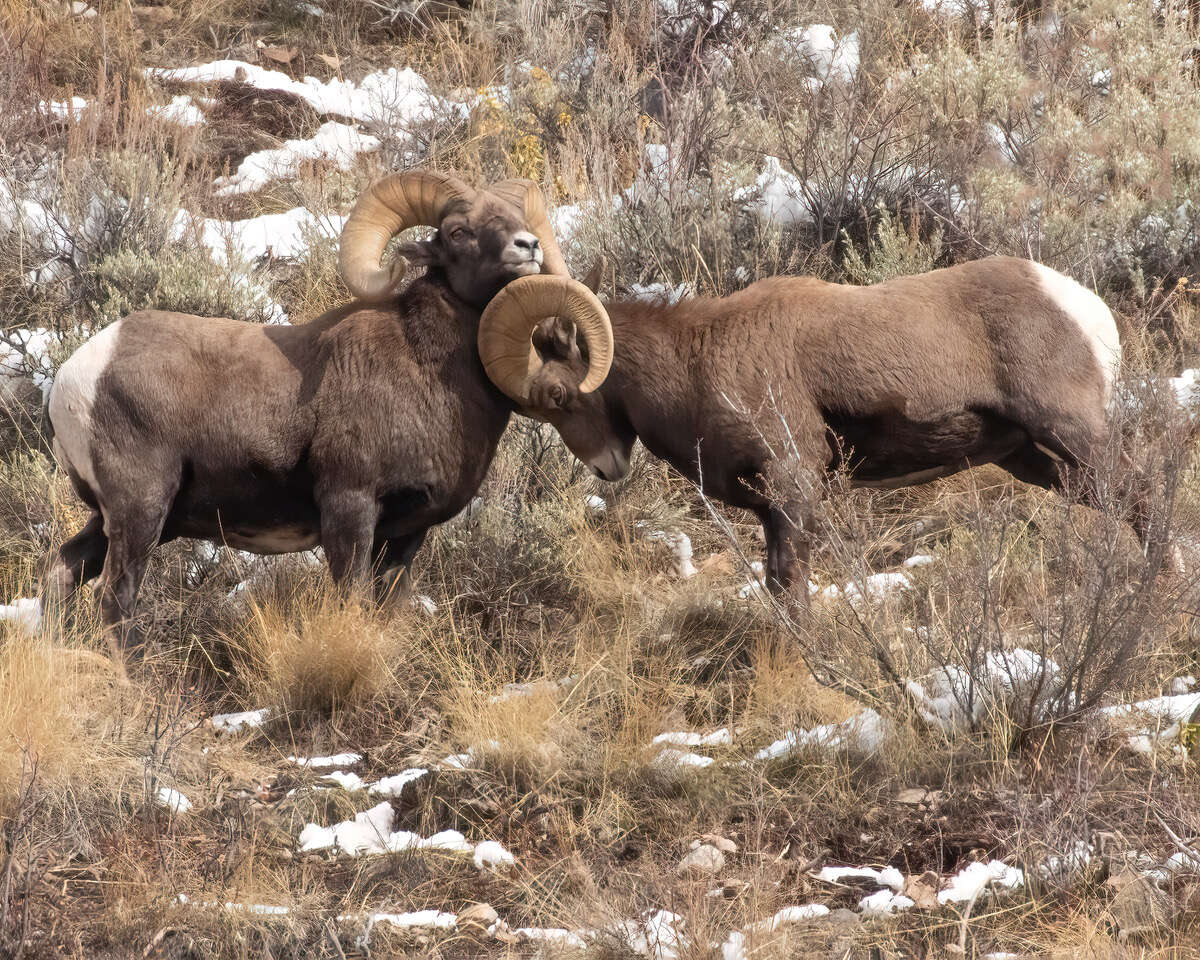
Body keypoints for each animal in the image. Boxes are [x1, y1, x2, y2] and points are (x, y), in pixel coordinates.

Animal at [44, 170, 614, 660]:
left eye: (516, 218)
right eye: (457, 231)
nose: (528, 246)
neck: (429, 368)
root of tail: (75, 375)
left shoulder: (405, 536)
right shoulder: (350, 508)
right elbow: (352, 603)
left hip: (127, 520)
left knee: (63, 572)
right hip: (141, 512)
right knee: (116, 601)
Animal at [475, 256, 1163, 609]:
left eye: (556, 395)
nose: (606, 467)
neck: (696, 361)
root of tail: (1085, 309)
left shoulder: (793, 486)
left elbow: (791, 586)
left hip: (1073, 432)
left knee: (1144, 496)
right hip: (1034, 460)